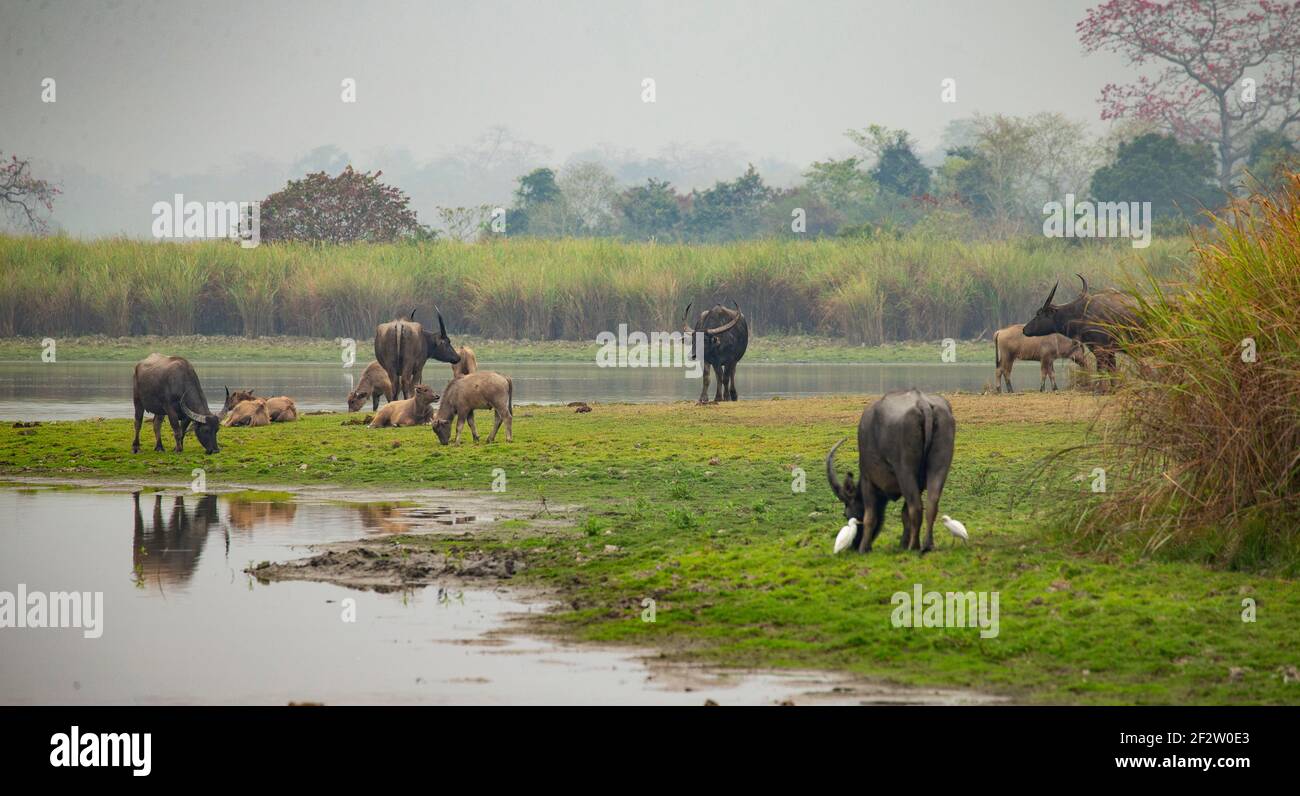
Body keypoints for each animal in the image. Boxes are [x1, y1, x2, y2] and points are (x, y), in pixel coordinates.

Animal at [825, 389, 956, 553]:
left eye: (845, 513)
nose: (853, 546)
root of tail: (922, 403)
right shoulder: (919, 485)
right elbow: (904, 514)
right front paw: (902, 543)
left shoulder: (868, 480)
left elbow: (870, 516)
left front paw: (864, 548)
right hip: (940, 465)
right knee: (931, 503)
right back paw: (927, 545)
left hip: (904, 470)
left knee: (916, 507)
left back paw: (914, 546)